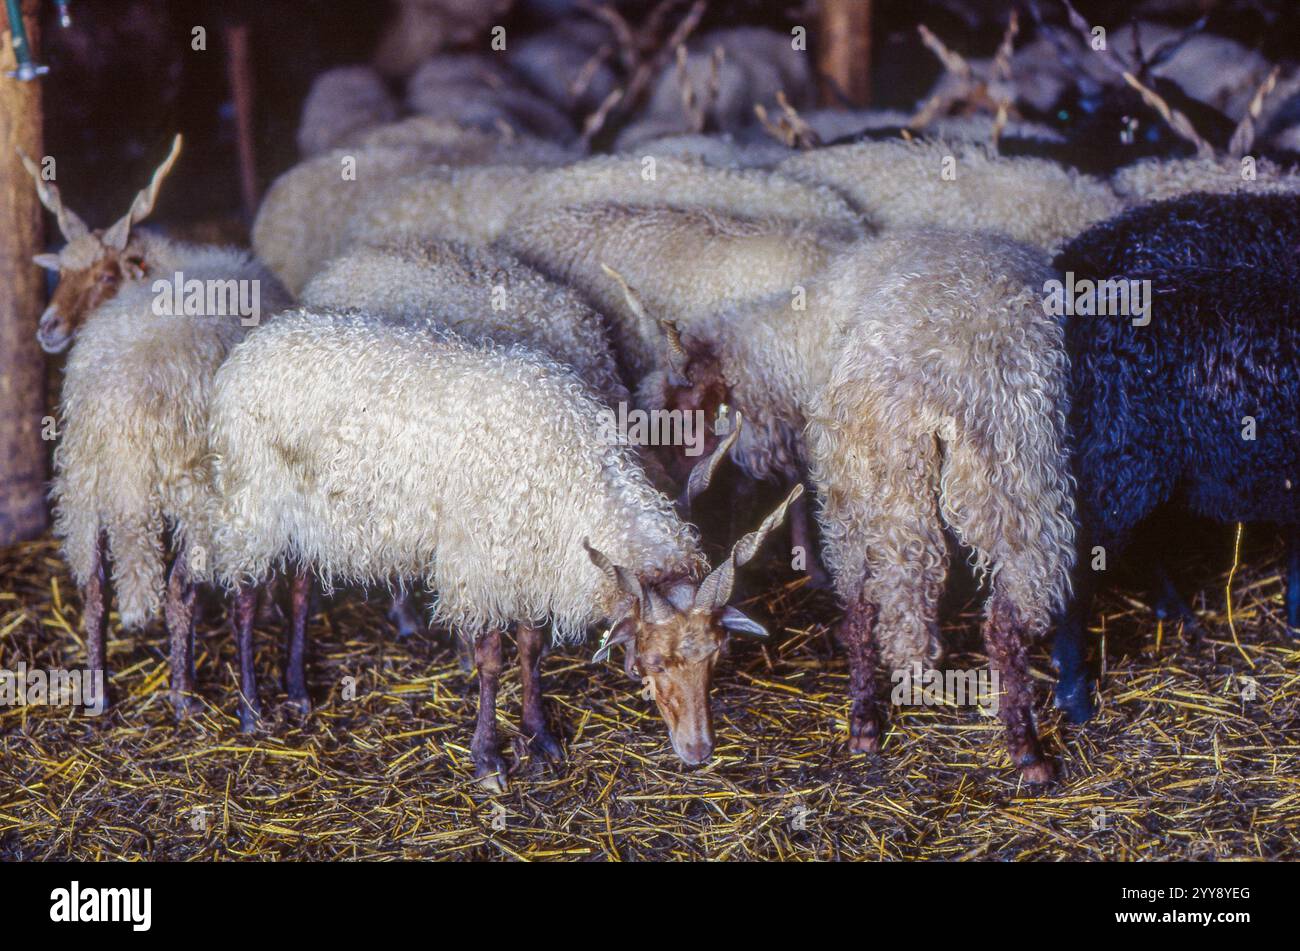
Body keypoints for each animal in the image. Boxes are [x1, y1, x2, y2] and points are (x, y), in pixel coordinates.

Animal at [23, 136, 291, 714]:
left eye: (105, 276)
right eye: (62, 272)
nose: (47, 328)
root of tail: (114, 405)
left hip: (82, 488)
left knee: (93, 587)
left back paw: (99, 695)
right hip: (192, 488)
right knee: (176, 589)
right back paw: (183, 695)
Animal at [203, 309, 800, 787]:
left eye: (718, 655)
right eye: (650, 662)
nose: (698, 752)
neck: (573, 479)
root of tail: (256, 343)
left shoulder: (533, 564)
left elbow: (532, 651)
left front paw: (541, 738)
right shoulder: (482, 566)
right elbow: (490, 662)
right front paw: (488, 758)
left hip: (309, 514)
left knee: (301, 588)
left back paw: (298, 691)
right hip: (252, 494)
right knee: (246, 596)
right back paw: (253, 711)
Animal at [634, 230, 1075, 782]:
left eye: (681, 417)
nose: (675, 496)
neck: (794, 341)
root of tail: (940, 382)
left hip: (873, 480)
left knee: (869, 604)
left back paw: (868, 720)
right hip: (1008, 480)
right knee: (1003, 618)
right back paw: (1025, 747)